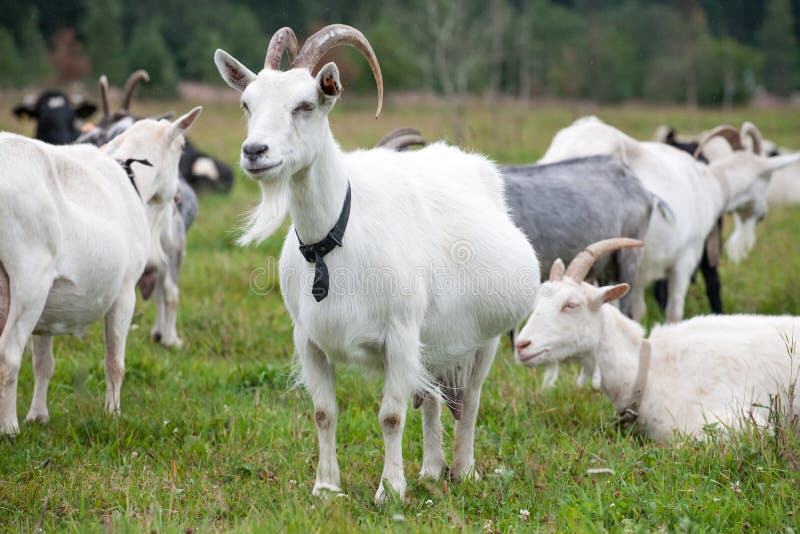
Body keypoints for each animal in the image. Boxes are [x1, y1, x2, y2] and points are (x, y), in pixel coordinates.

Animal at [0, 108, 202, 435]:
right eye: (182, 146)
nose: (180, 198)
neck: (130, 176)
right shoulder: (124, 293)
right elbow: (114, 363)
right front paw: (113, 414)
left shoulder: (49, 307)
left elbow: (43, 362)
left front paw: (38, 416)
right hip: (30, 281)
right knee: (8, 356)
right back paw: (8, 429)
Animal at [214, 25, 539, 503]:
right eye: (246, 104)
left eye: (305, 104)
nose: (255, 151)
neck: (334, 240)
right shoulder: (308, 340)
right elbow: (324, 412)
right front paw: (326, 487)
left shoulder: (400, 335)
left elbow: (391, 415)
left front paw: (390, 490)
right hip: (434, 340)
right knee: (433, 397)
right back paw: (431, 470)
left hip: (483, 339)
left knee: (471, 399)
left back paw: (462, 470)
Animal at [539, 117, 800, 322]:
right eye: (767, 179)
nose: (762, 215)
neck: (712, 183)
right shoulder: (684, 260)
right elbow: (674, 312)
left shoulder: (638, 269)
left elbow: (635, 311)